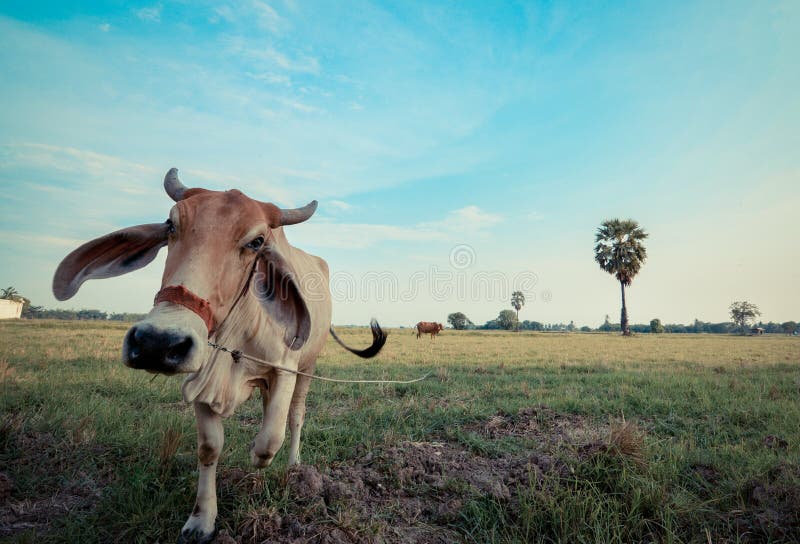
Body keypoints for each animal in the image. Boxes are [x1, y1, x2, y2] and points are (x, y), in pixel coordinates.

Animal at [52, 169, 387, 543]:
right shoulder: (199, 378)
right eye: (170, 224)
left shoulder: (285, 370)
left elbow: (269, 440)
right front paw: (202, 519)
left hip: (307, 368)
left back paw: (294, 466)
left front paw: (260, 459)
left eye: (257, 242)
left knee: (296, 416)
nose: (156, 342)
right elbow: (210, 447)